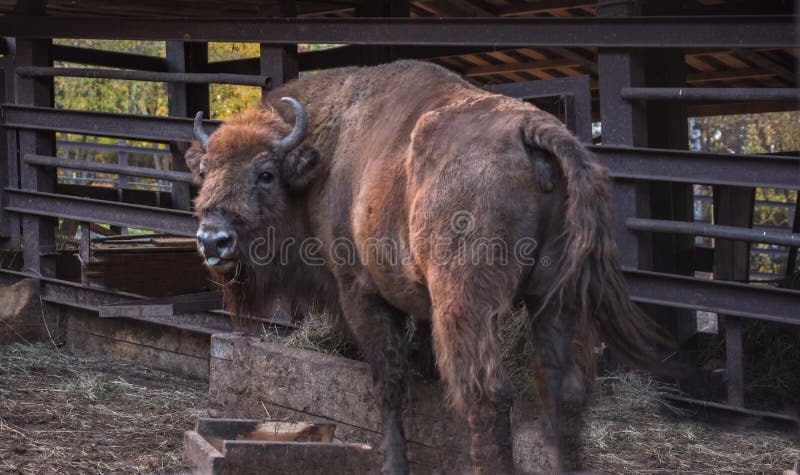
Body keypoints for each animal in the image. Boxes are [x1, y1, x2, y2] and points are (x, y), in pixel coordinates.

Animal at [186, 60, 668, 474]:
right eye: (205, 170)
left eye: (265, 173)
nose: (213, 240)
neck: (327, 150)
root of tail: (530, 129)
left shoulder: (359, 290)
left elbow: (388, 382)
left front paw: (394, 464)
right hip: (555, 299)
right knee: (562, 393)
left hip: (468, 303)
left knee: (487, 396)